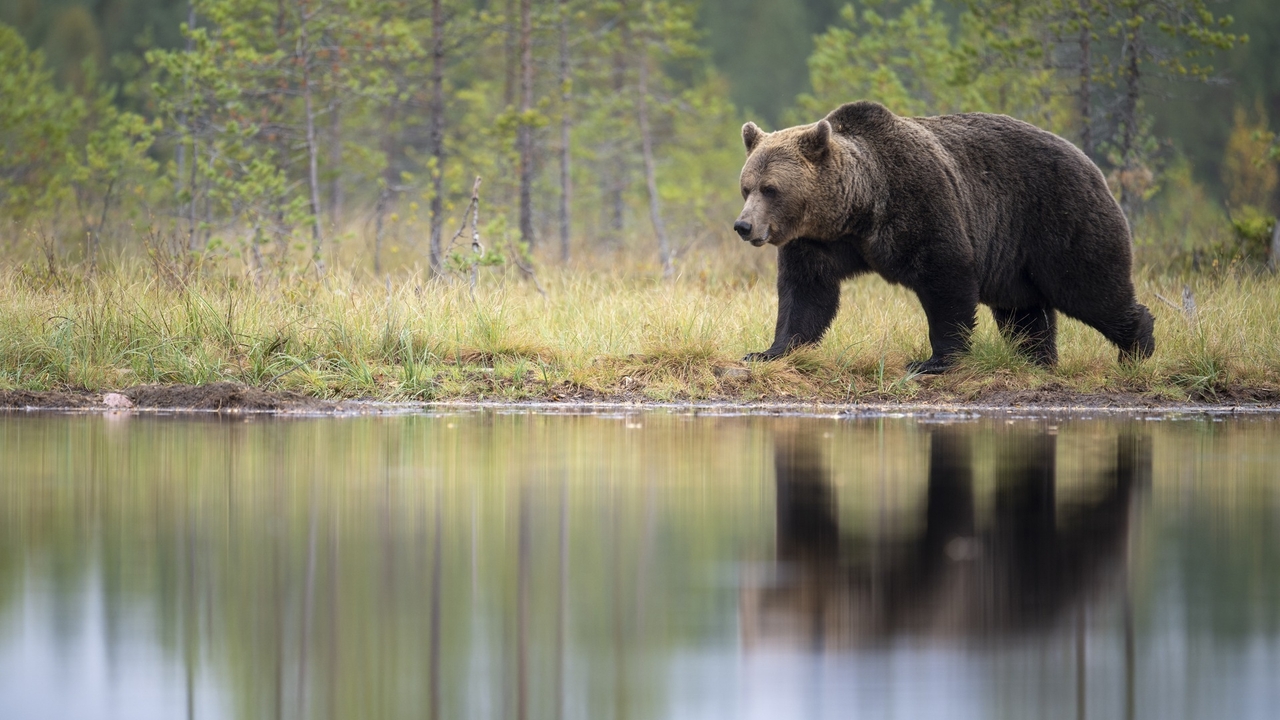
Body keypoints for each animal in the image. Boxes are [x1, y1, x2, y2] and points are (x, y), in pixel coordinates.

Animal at [733, 101, 1155, 373]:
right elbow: (805, 295)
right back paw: (1036, 359)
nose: (744, 226)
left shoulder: (920, 204)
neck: (857, 210)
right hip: (1013, 259)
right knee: (1023, 311)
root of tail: (1090, 162)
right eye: (746, 187)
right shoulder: (816, 242)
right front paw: (769, 351)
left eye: (771, 189)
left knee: (1088, 287)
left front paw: (934, 360)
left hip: (1058, 219)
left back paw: (1137, 346)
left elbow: (946, 278)